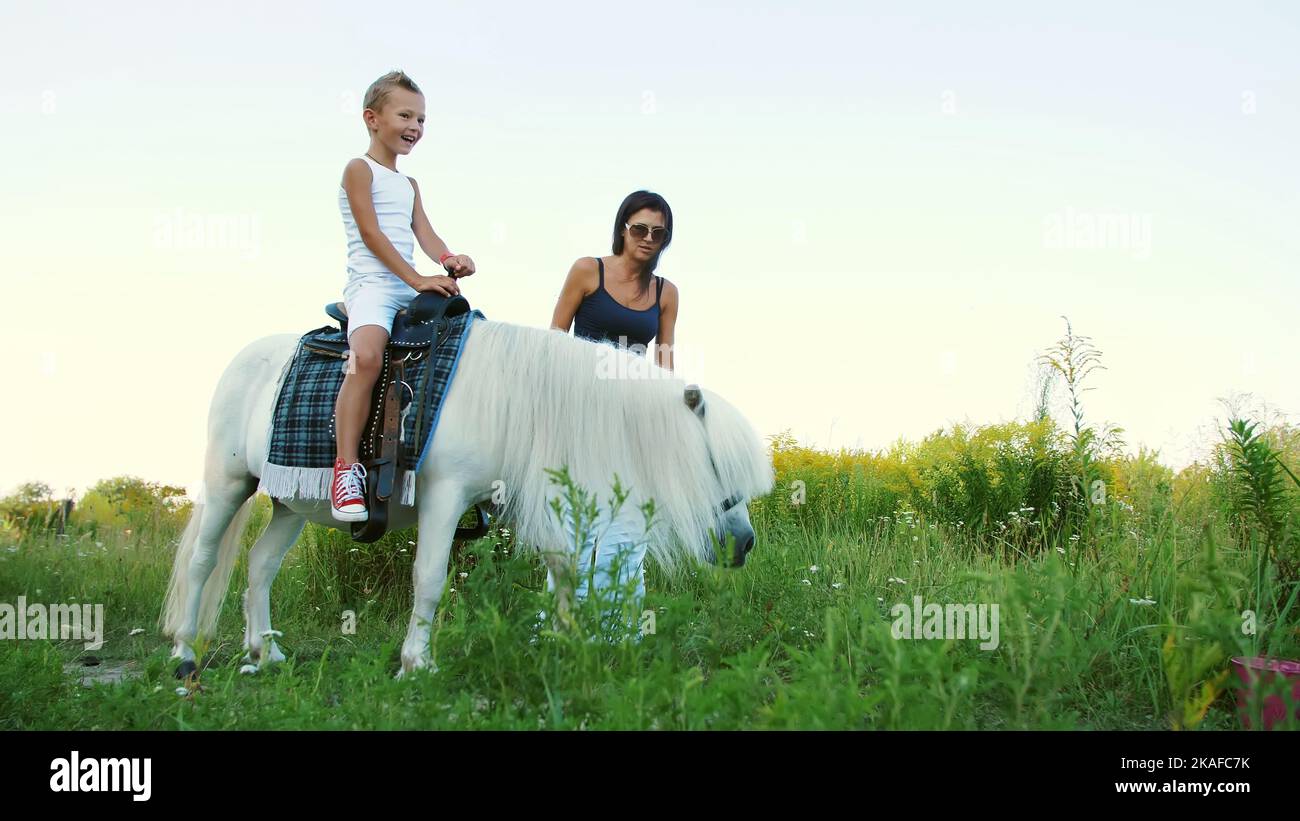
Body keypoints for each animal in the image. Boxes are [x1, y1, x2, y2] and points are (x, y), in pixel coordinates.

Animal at [160, 317, 775, 679]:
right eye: (716, 463)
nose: (745, 544)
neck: (515, 398)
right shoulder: (444, 496)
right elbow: (431, 580)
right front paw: (416, 664)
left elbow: (564, 572)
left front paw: (569, 643)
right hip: (228, 484)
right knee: (202, 563)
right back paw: (185, 655)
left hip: (291, 503)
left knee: (260, 566)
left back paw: (264, 653)